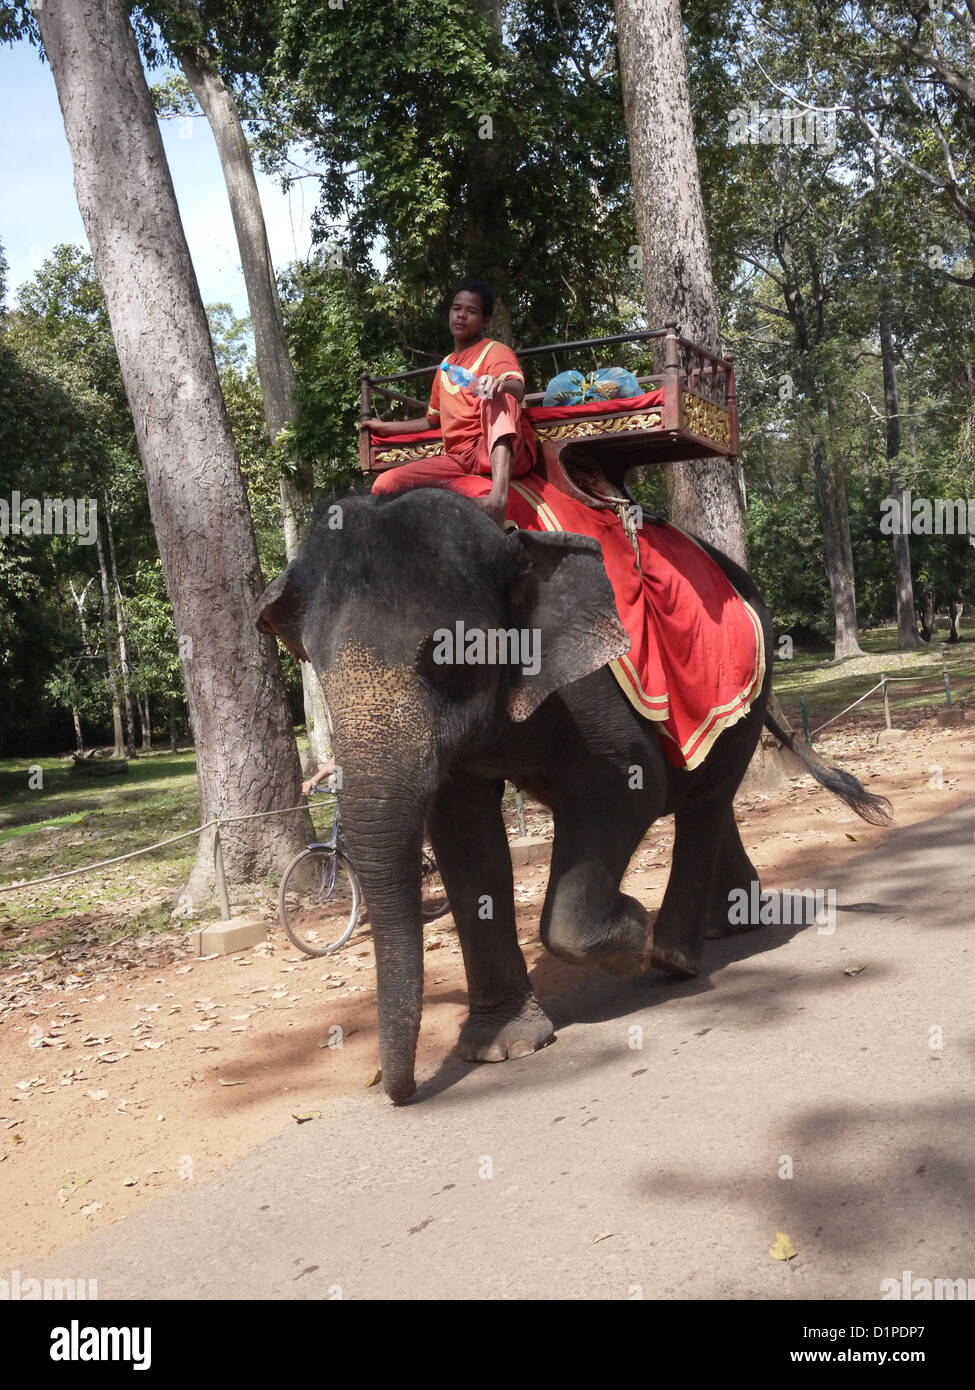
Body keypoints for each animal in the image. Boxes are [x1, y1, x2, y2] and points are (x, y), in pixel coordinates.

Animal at [257, 487, 891, 1104]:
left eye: (444, 654)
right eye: (313, 663)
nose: (403, 1095)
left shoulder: (594, 688)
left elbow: (629, 786)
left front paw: (631, 936)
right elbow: (465, 837)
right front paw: (503, 1048)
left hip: (740, 693)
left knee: (705, 799)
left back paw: (675, 956)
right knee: (706, 794)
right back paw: (729, 924)